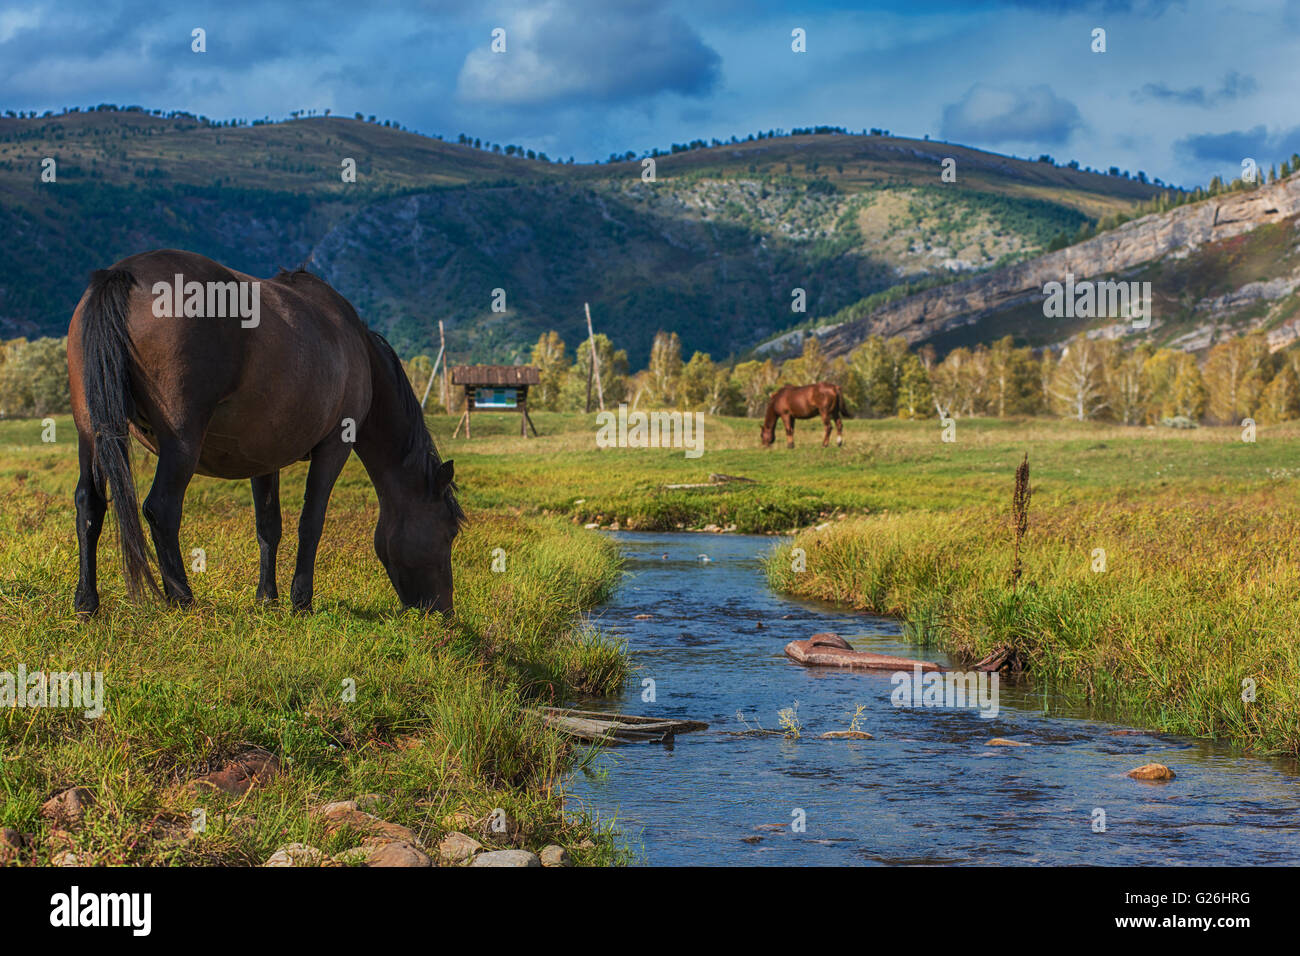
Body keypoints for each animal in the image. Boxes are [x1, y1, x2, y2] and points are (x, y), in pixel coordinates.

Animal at [66, 248, 463, 616]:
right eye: (449, 531)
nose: (443, 610)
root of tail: (123, 273)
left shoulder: (262, 457)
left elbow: (269, 526)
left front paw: (267, 599)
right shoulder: (335, 446)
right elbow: (311, 522)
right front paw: (301, 601)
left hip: (91, 433)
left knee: (89, 503)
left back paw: (87, 602)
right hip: (181, 443)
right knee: (162, 509)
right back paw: (183, 599)